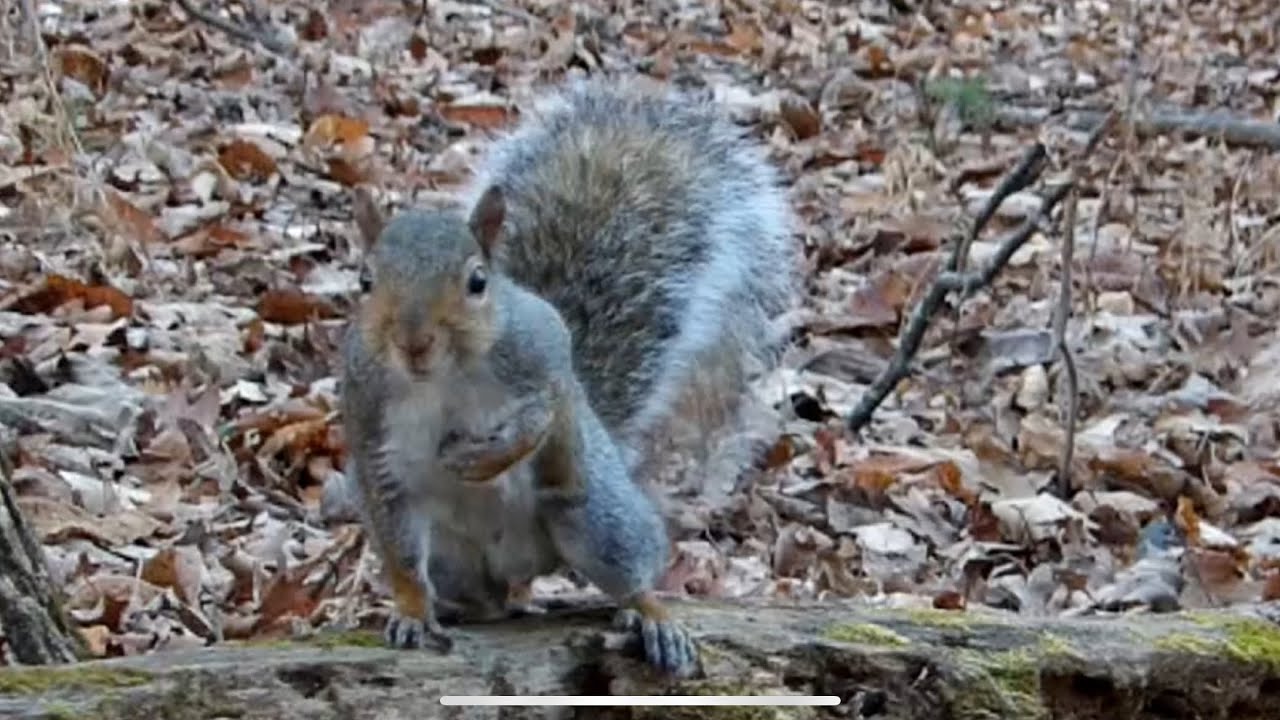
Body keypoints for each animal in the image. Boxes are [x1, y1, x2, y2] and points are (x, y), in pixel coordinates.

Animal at [335, 75, 796, 676]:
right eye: (365, 281)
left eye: (478, 282)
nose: (412, 343)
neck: (439, 379)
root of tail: (519, 567)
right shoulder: (367, 413)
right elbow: (399, 545)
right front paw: (412, 613)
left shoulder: (542, 347)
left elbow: (545, 408)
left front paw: (485, 458)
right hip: (455, 559)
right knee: (485, 597)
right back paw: (465, 610)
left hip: (597, 518)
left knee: (634, 566)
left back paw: (651, 616)